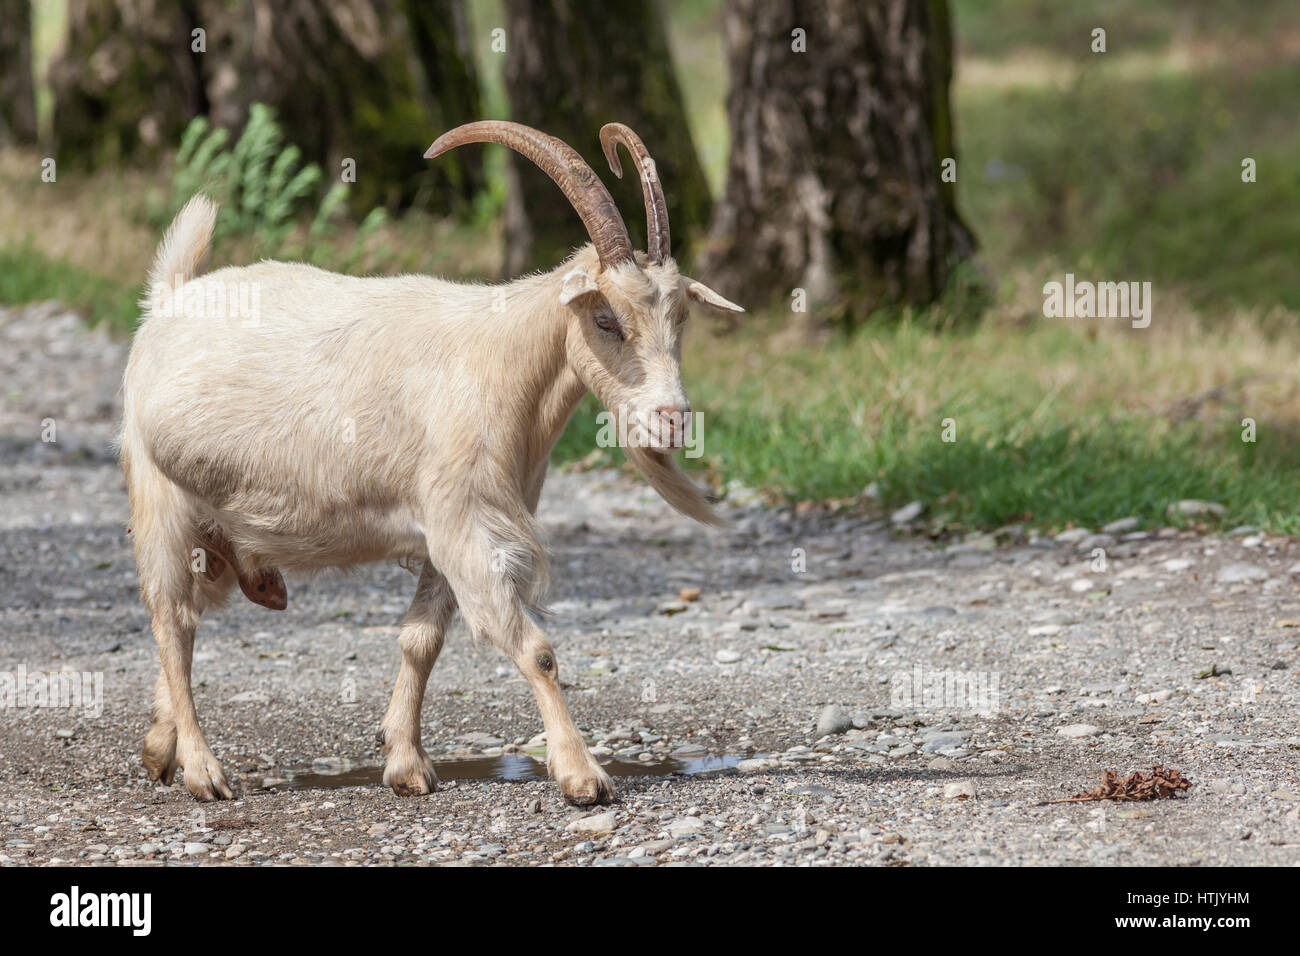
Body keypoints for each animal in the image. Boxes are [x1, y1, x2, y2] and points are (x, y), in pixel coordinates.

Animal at [120, 121, 743, 804]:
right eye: (606, 320)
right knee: (172, 620)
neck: (499, 362)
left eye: (680, 318)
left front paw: (406, 764)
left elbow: (421, 640)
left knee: (190, 614)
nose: (673, 419)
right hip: (159, 497)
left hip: (219, 524)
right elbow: (535, 648)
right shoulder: (465, 523)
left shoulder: (444, 528)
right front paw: (583, 775)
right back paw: (203, 770)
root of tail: (169, 298)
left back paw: (159, 745)